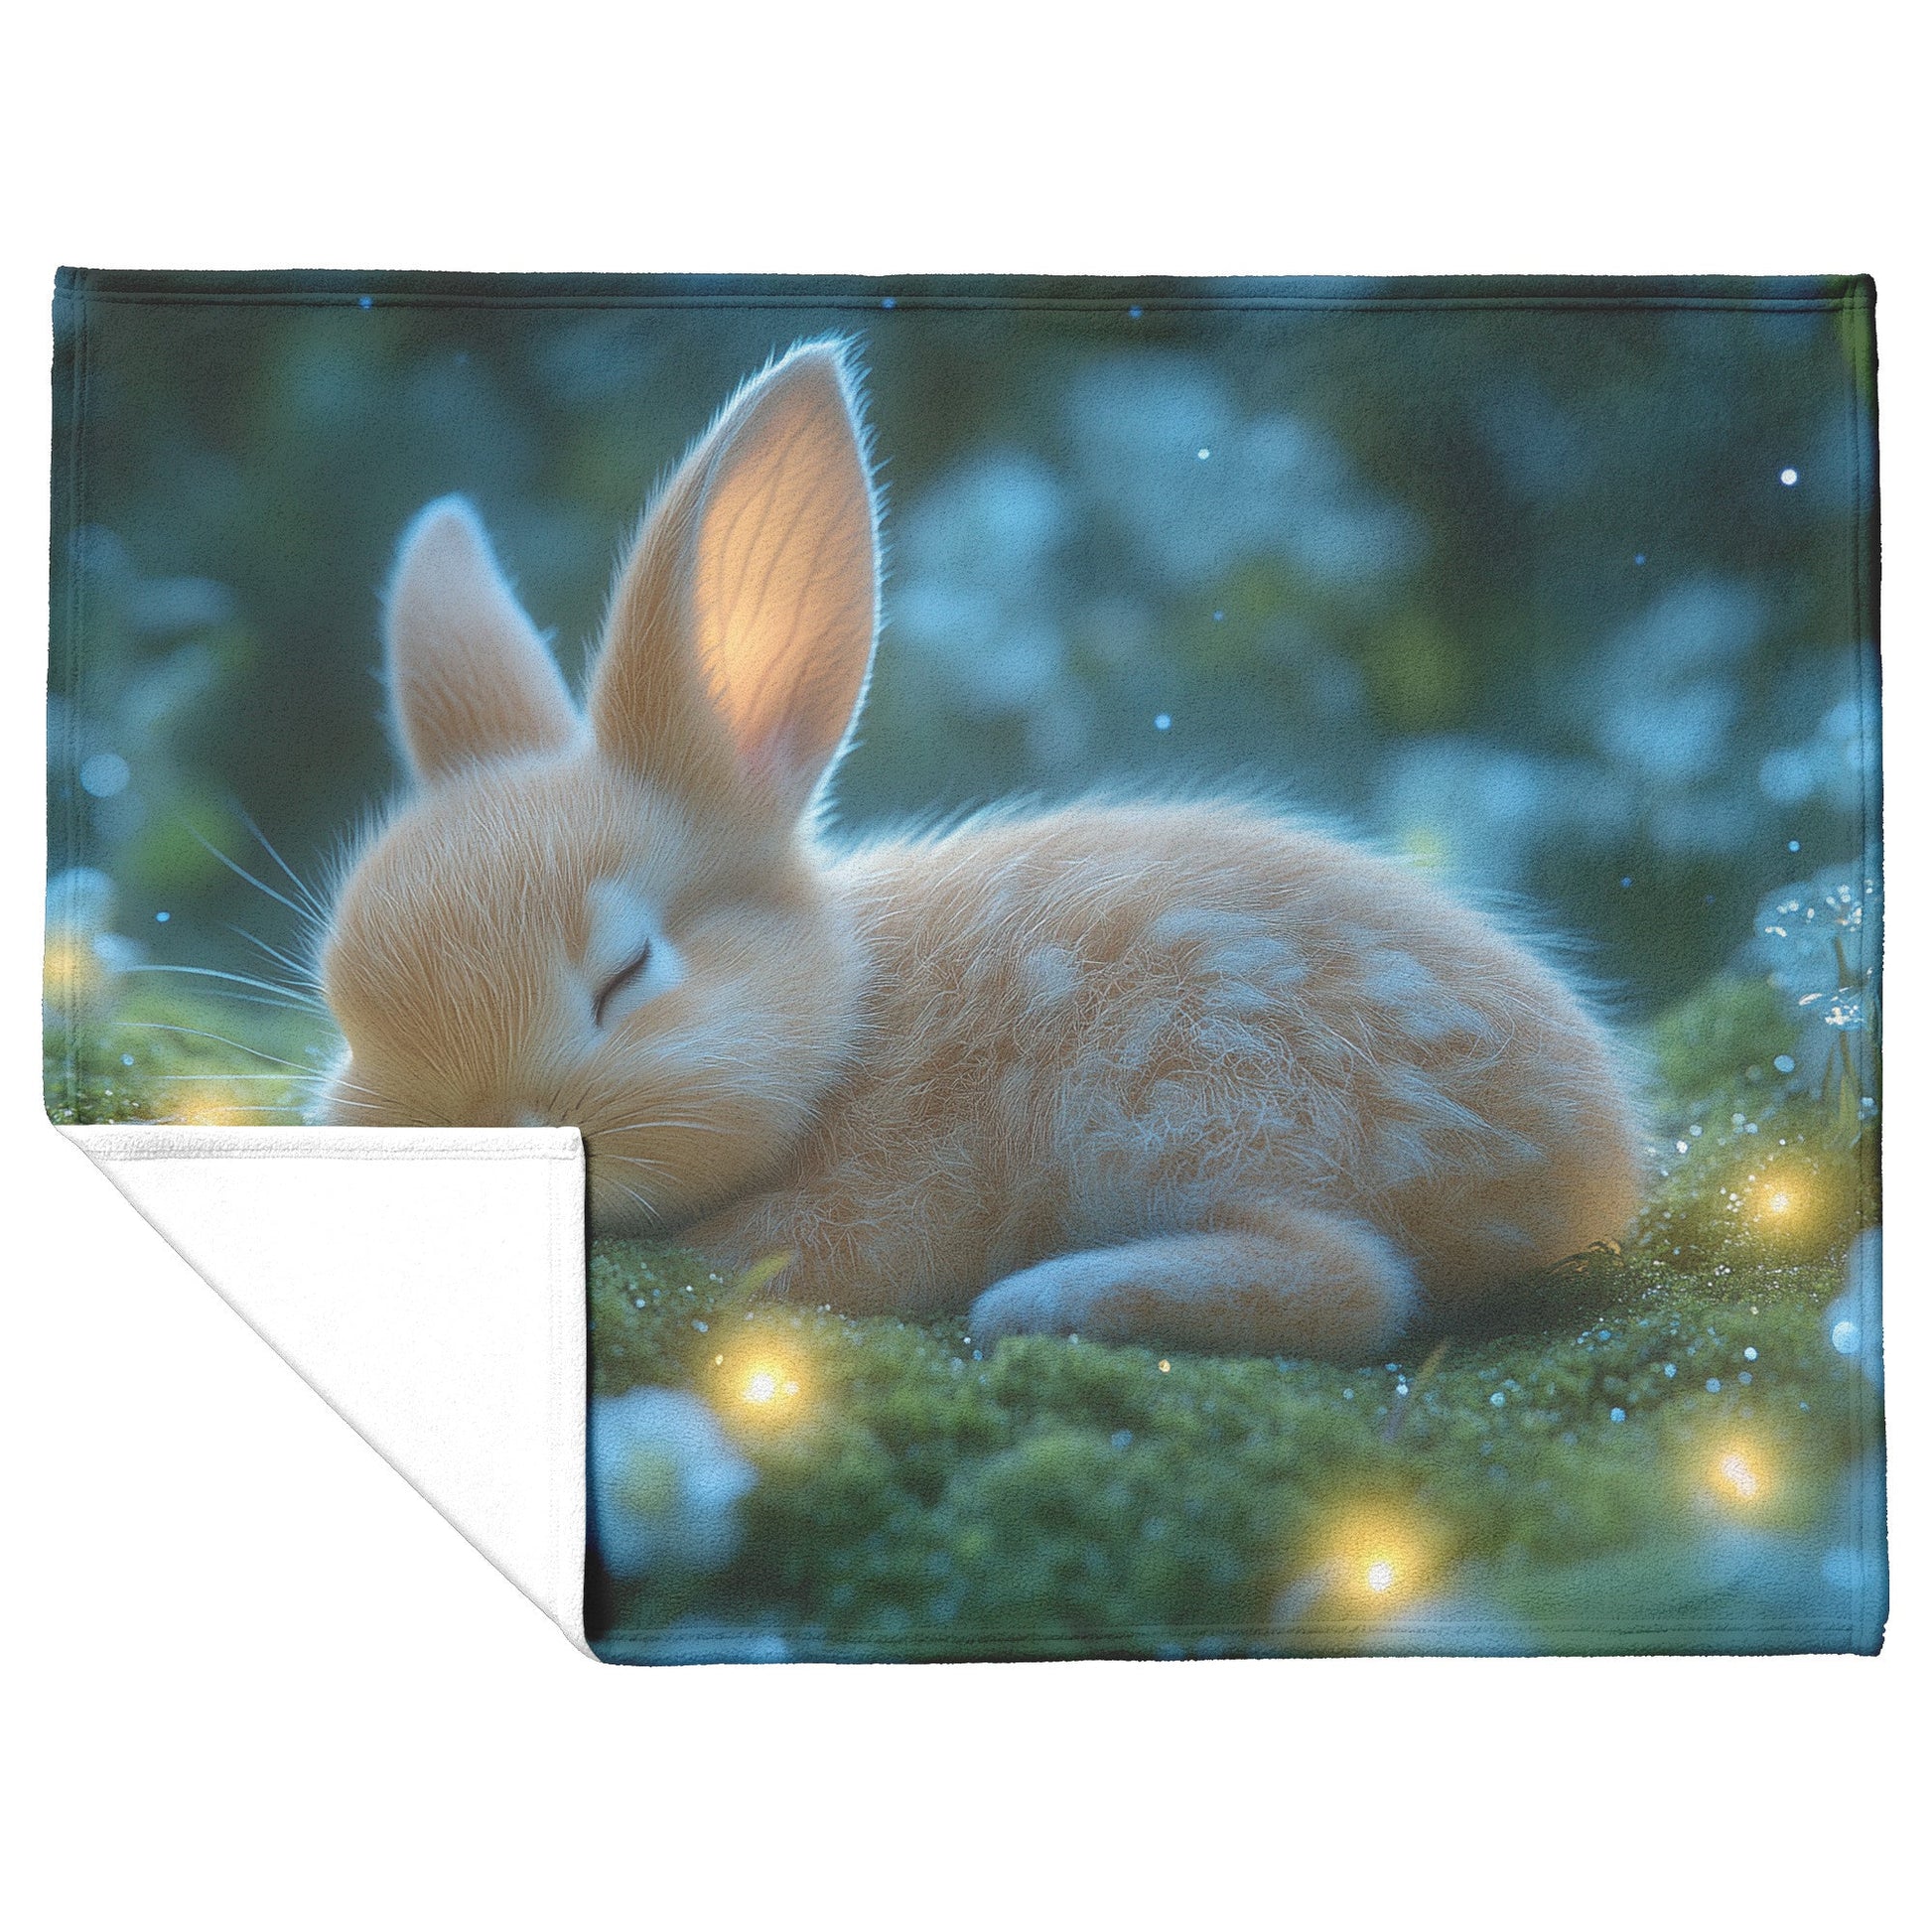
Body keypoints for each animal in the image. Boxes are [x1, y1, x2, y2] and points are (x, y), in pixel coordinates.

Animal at [318, 339, 1643, 1362]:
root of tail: (1592, 1152)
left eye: (624, 975)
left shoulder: (893, 1186)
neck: (849, 1026)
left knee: (1354, 1280)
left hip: (1191, 1095)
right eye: (345, 1015)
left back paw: (1043, 1298)